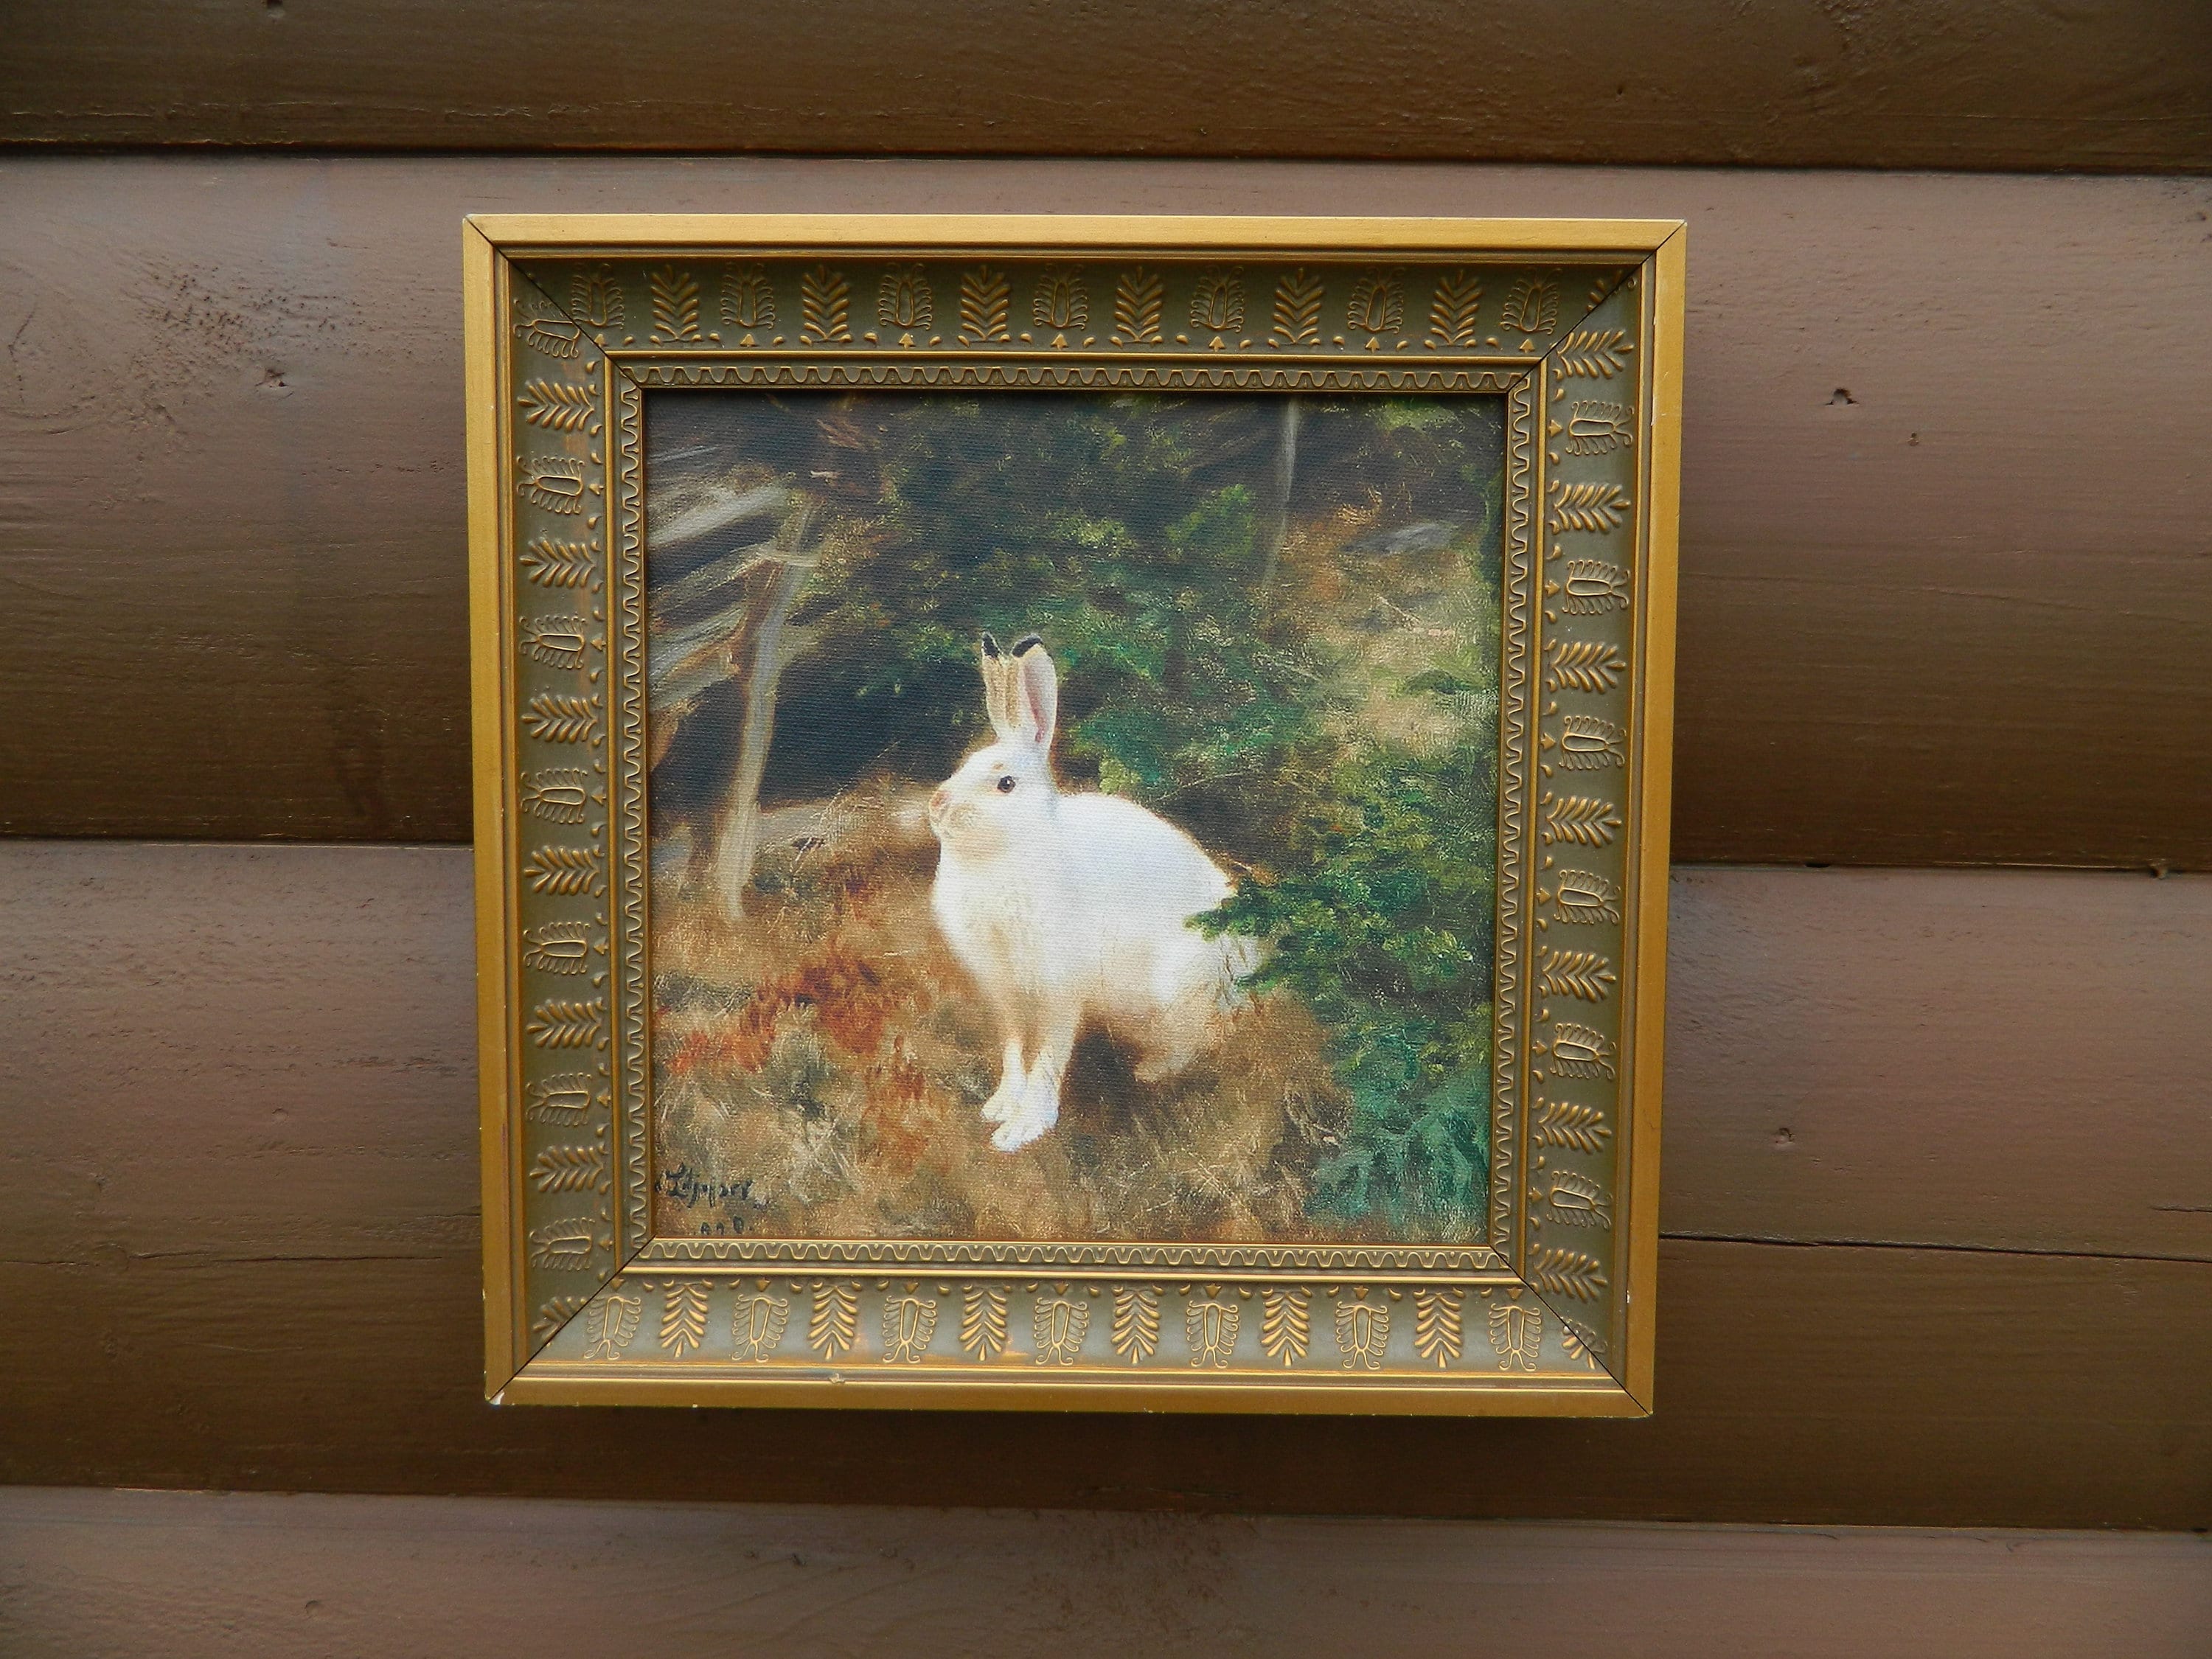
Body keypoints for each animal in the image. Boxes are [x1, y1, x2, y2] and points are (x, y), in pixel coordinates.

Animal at [926, 633, 1260, 1152]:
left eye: (1006, 783)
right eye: (964, 765)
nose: (937, 806)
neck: (1007, 851)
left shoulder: (1059, 988)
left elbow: (1048, 1058)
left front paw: (1023, 1128)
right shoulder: (1004, 992)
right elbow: (1014, 1049)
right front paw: (1000, 1105)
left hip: (1175, 985)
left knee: (1201, 1037)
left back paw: (1153, 1070)